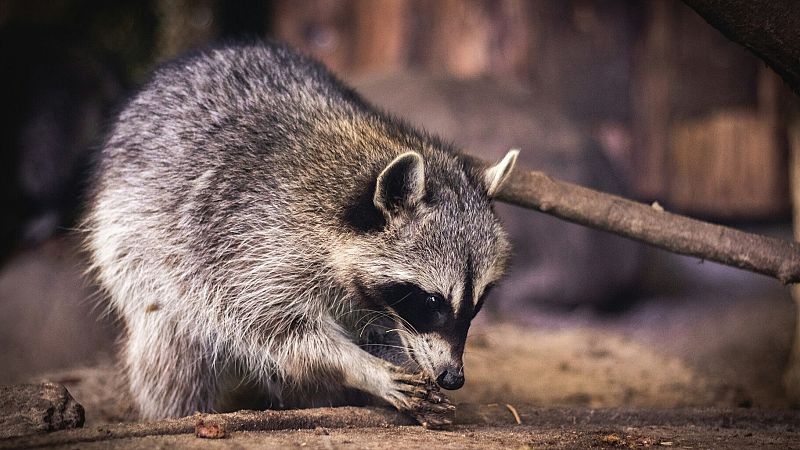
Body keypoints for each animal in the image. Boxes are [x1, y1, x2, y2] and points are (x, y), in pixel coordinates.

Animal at [84, 41, 517, 423]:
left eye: (478, 303)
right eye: (430, 300)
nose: (453, 377)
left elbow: (386, 333)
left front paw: (395, 360)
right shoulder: (249, 245)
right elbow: (277, 329)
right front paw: (363, 368)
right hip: (135, 247)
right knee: (171, 349)